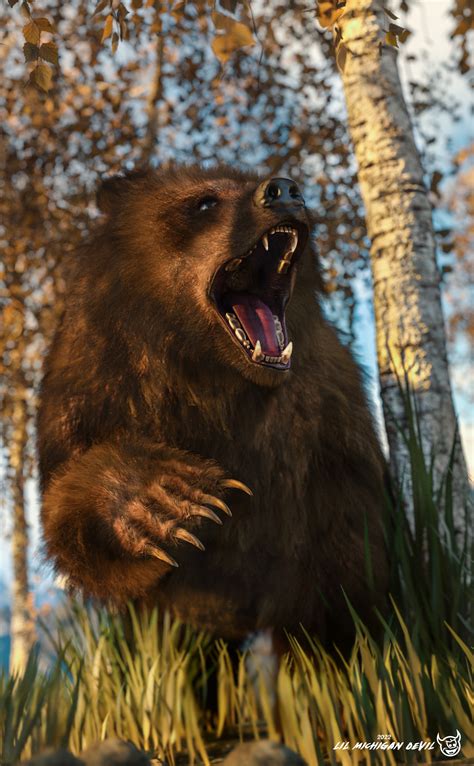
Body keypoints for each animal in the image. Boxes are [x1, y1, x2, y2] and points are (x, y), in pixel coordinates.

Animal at [38, 165, 388, 647]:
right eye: (204, 201)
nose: (284, 190)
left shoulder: (327, 424)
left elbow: (344, 583)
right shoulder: (94, 381)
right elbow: (66, 507)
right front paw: (171, 499)